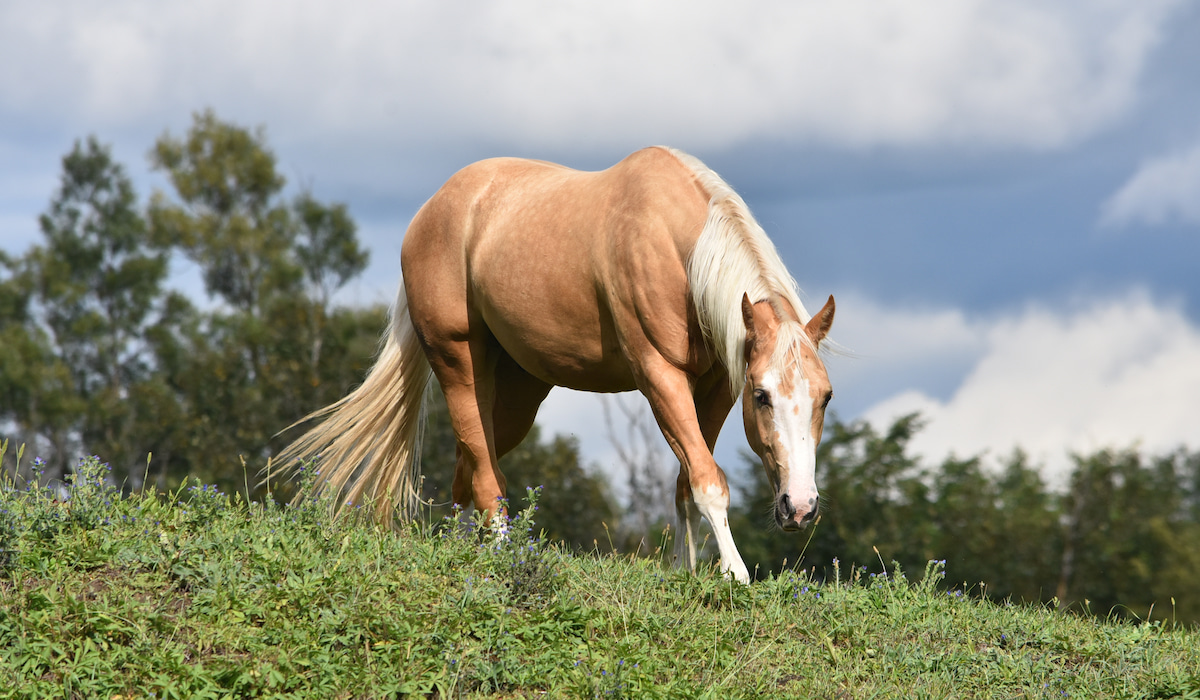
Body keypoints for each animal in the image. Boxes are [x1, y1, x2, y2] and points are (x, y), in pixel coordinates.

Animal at [277, 146, 835, 583]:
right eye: (762, 395)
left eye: (825, 397)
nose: (800, 507)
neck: (678, 248)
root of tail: (432, 209)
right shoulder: (659, 377)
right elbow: (707, 480)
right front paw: (734, 573)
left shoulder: (716, 388)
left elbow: (685, 483)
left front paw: (686, 570)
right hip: (459, 364)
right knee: (484, 478)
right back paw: (503, 555)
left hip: (516, 394)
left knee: (468, 467)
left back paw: (465, 547)